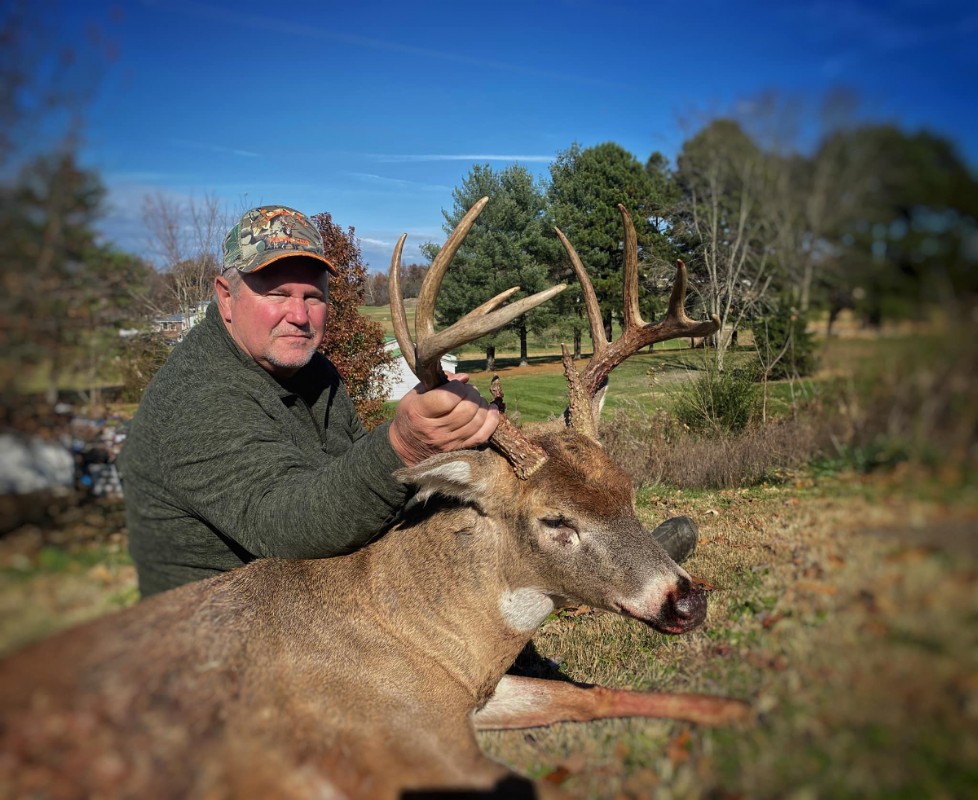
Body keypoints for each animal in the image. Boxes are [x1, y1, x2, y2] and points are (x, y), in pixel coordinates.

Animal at [0, 199, 743, 800]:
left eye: (627, 489)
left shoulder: (476, 694)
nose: (686, 600)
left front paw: (740, 711)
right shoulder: (396, 735)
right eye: (555, 519)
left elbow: (591, 697)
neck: (425, 626)